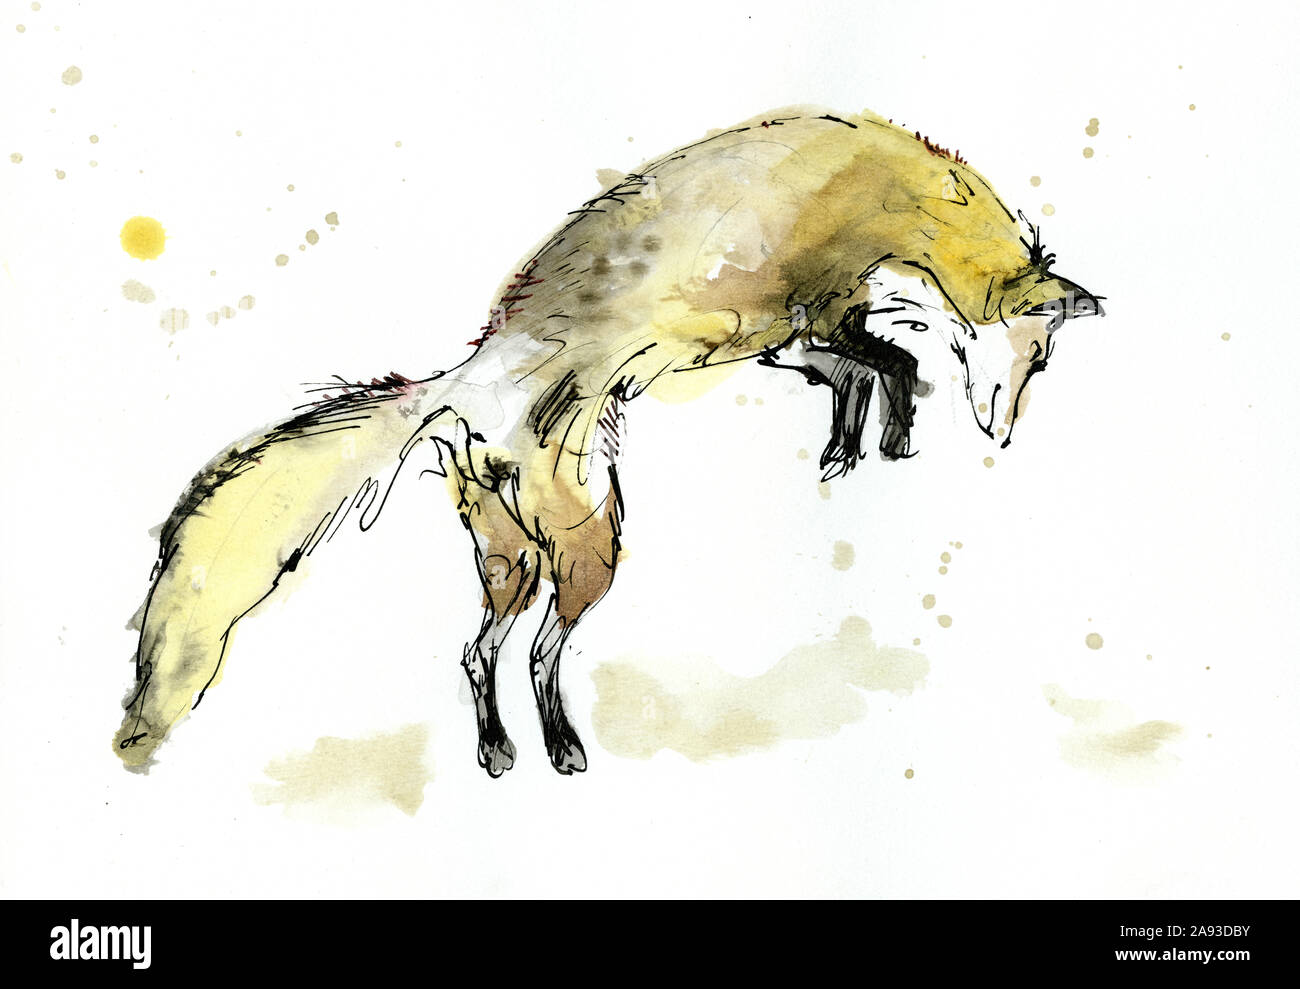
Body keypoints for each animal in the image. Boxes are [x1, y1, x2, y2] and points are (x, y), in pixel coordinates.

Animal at [113, 106, 1102, 777]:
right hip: (592, 543)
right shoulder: (807, 311)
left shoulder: (784, 335)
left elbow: (861, 371)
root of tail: (462, 385)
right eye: (1041, 356)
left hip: (509, 556)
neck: (875, 182)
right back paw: (560, 747)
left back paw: (499, 752)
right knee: (542, 651)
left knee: (479, 651)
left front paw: (850, 449)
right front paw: (886, 437)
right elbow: (890, 362)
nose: (1003, 434)